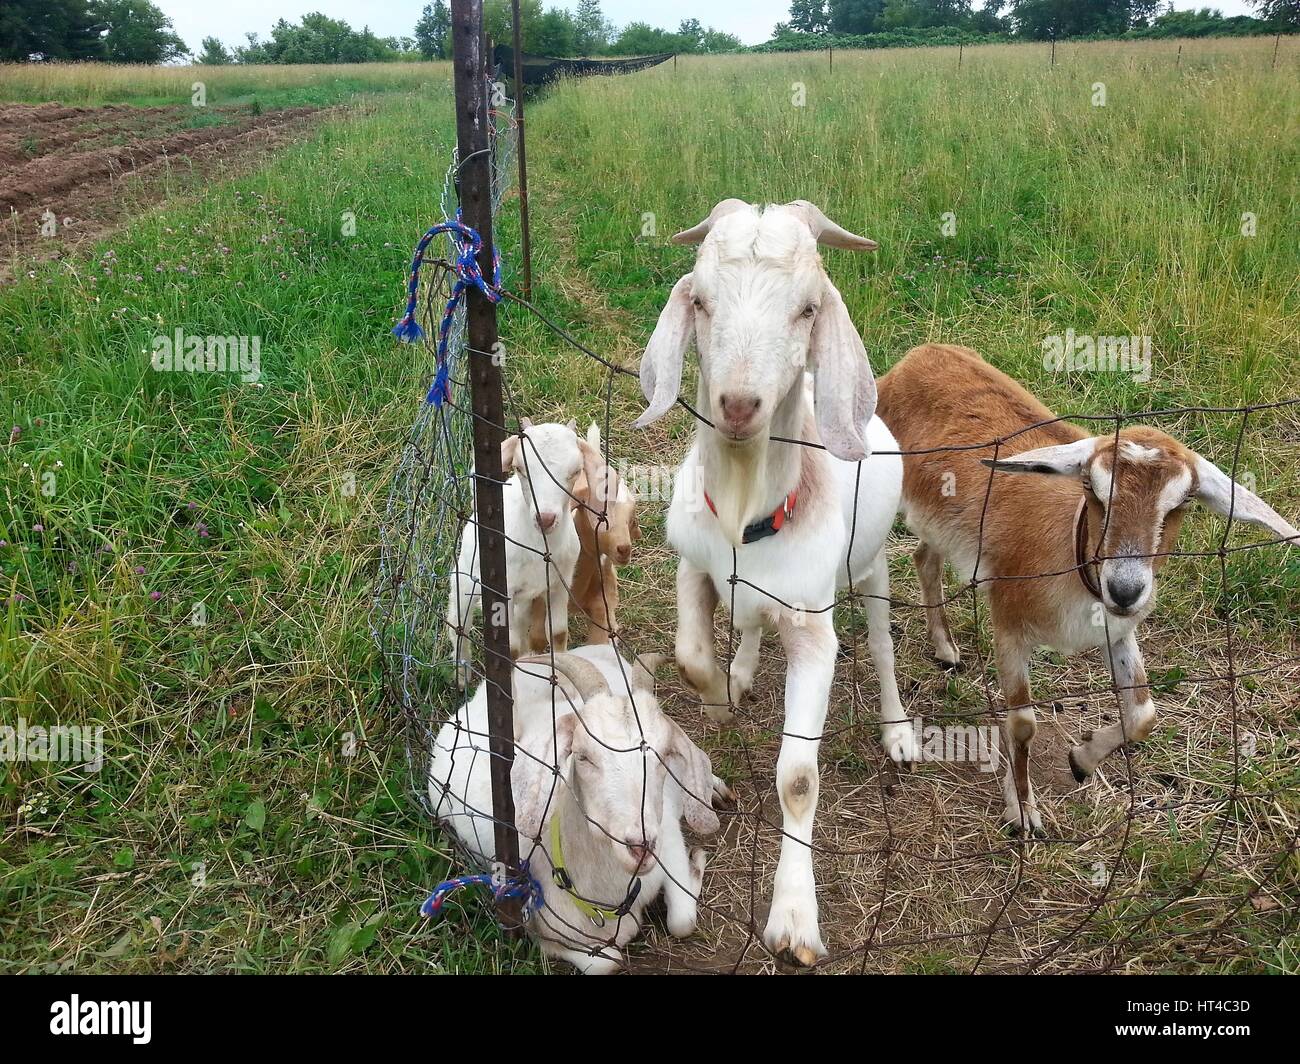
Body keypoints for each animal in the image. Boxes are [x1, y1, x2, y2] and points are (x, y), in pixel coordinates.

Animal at [429, 646, 723, 974]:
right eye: (583, 756)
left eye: (665, 753)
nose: (640, 847)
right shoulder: (540, 927)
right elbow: (606, 962)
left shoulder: (667, 834)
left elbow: (681, 921)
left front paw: (696, 864)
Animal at [446, 420, 600, 688]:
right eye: (520, 468)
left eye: (576, 471)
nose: (545, 518)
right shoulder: (503, 591)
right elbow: (511, 647)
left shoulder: (559, 583)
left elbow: (558, 632)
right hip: (466, 577)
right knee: (458, 622)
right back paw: (461, 675)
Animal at [634, 198, 913, 966]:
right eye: (700, 300)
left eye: (807, 308)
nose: (737, 404)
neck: (745, 514)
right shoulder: (693, 564)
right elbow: (689, 654)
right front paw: (722, 697)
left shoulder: (814, 628)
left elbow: (797, 777)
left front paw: (794, 920)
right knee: (751, 625)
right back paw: (745, 670)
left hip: (873, 570)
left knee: (882, 645)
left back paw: (899, 731)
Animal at [876, 343, 1299, 835]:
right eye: (1093, 490)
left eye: (1182, 502)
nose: (1125, 589)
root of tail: (923, 352)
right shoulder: (1009, 626)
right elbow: (1022, 725)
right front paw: (1023, 812)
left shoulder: (1116, 630)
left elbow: (1143, 713)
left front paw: (1081, 759)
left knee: (925, 558)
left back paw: (945, 649)